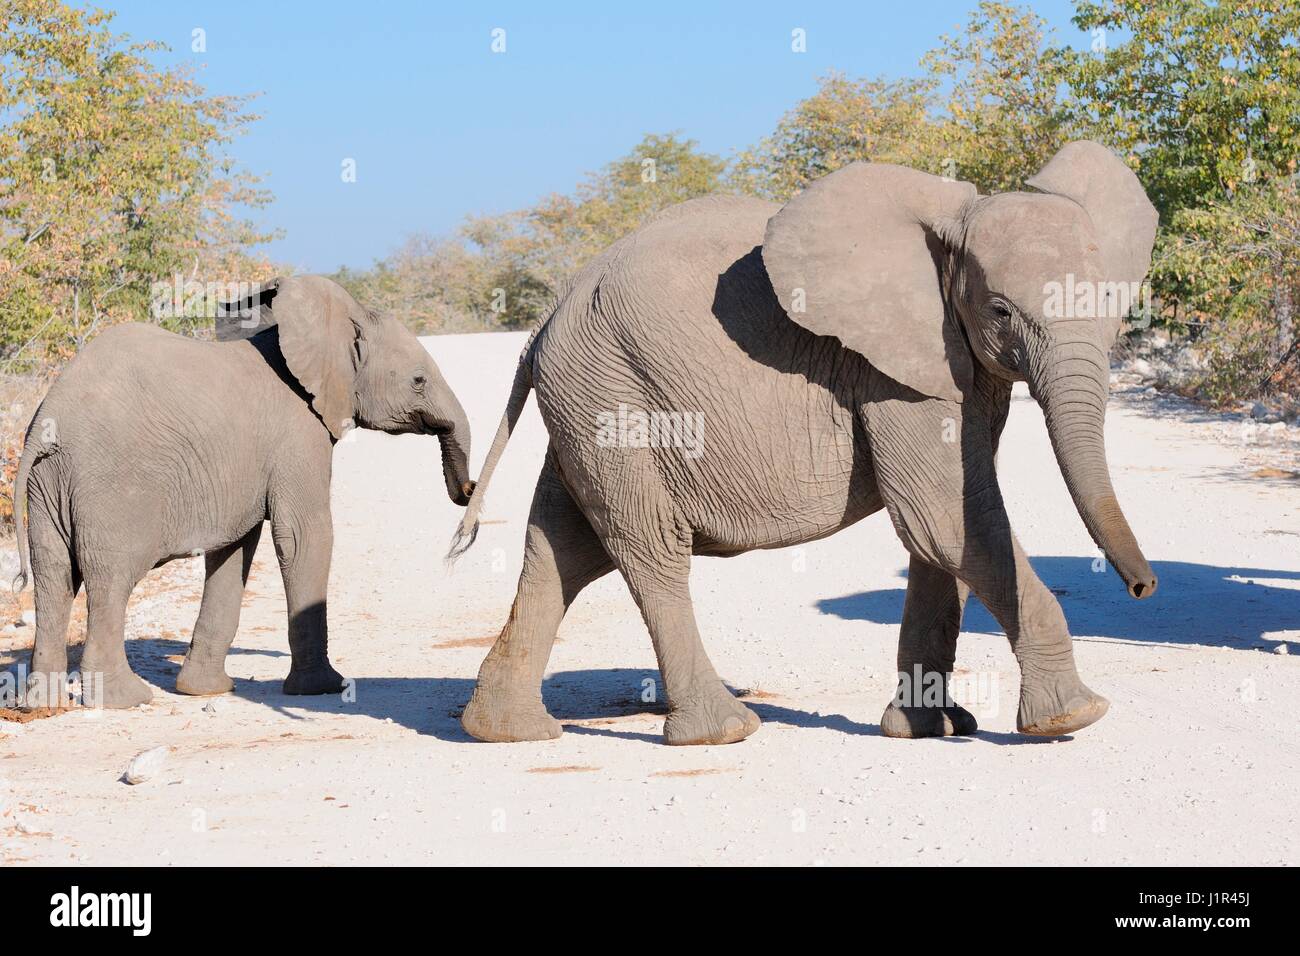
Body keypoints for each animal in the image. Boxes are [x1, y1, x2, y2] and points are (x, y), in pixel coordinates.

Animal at [12, 274, 473, 709]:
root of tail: (47, 421)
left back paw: (42, 703)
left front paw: (204, 690)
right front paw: (325, 688)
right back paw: (127, 699)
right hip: (110, 485)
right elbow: (304, 536)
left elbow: (233, 551)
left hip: (48, 485)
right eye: (418, 381)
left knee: (53, 577)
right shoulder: (299, 434)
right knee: (110, 577)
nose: (466, 492)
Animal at [451, 140, 1159, 746]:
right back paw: (723, 732)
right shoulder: (890, 371)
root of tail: (550, 312)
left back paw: (506, 731)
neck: (947, 229)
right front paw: (1072, 717)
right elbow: (946, 518)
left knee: (562, 547)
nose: (1143, 589)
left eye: (1105, 296)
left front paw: (929, 729)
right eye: (1002, 311)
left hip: (587, 399)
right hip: (609, 395)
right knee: (649, 548)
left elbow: (943, 530)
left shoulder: (955, 367)